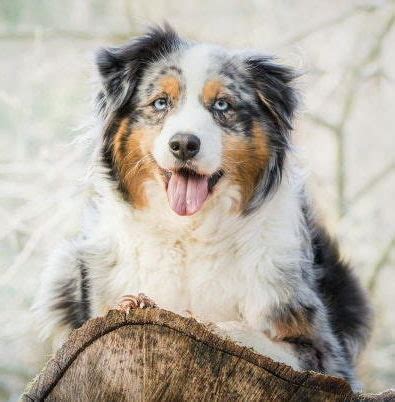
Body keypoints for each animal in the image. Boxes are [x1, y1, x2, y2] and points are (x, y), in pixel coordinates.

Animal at [33, 25, 372, 390]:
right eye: (161, 102)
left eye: (222, 105)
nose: (183, 144)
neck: (189, 233)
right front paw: (134, 301)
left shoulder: (326, 355)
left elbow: (252, 335)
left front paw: (207, 322)